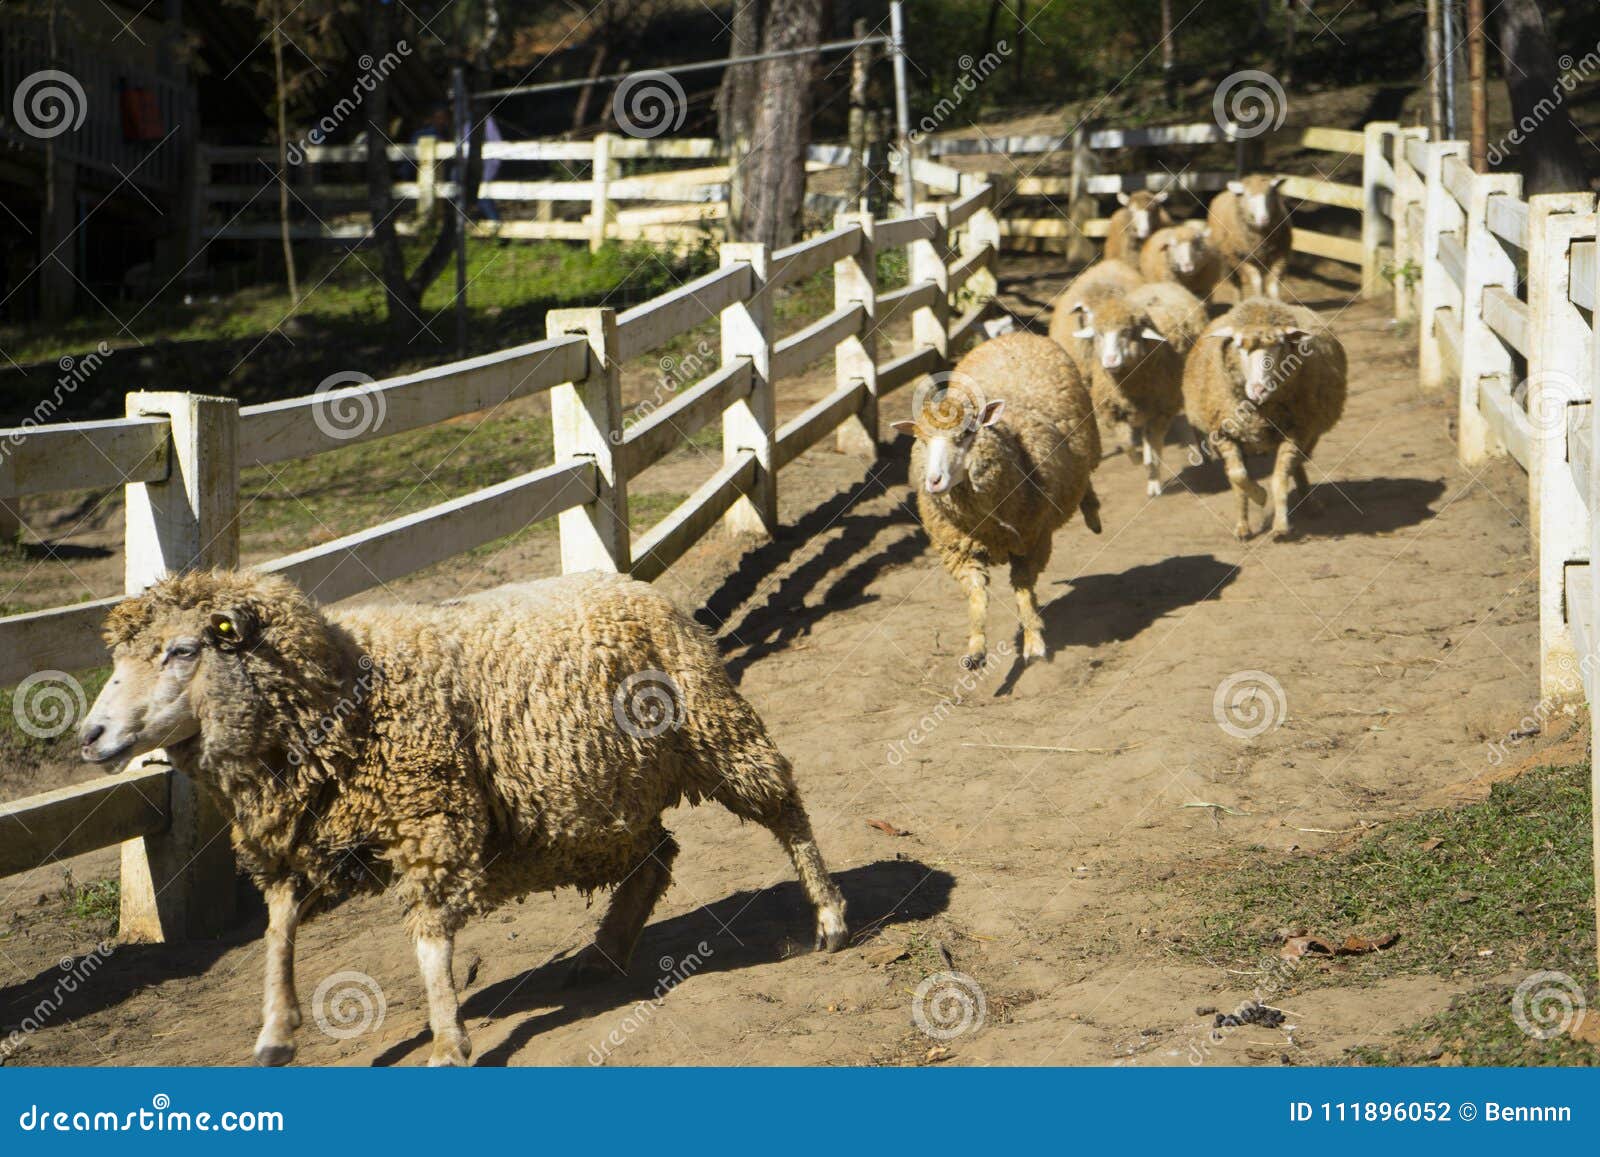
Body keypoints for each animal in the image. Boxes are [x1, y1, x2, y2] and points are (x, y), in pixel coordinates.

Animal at [78, 569, 848, 1067]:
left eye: (182, 651)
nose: (89, 735)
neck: (344, 693)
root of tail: (638, 584)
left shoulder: (432, 819)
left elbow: (429, 942)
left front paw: (449, 1040)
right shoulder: (311, 840)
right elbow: (278, 931)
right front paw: (276, 1030)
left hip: (715, 729)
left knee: (786, 809)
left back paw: (828, 916)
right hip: (611, 797)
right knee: (656, 855)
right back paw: (602, 952)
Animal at [892, 333, 1102, 669]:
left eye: (966, 434)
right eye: (922, 441)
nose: (933, 482)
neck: (986, 525)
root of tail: (1015, 335)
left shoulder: (1032, 540)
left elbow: (1024, 589)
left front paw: (1033, 642)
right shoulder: (962, 551)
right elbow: (977, 596)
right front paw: (976, 649)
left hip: (1088, 440)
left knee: (1086, 476)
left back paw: (1093, 514)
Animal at [1071, 281, 1207, 497]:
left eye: (1126, 332)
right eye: (1099, 334)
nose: (1110, 361)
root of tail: (1163, 284)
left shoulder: (1161, 413)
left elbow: (1156, 449)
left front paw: (1154, 483)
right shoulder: (1113, 414)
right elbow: (1127, 445)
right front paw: (1138, 460)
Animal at [1182, 297, 1348, 540]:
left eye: (1279, 345)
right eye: (1239, 345)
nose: (1259, 389)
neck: (1258, 410)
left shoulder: (1296, 431)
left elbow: (1280, 477)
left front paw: (1280, 526)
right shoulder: (1224, 434)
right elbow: (1238, 477)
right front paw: (1258, 496)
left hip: (1307, 427)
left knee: (1296, 466)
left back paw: (1309, 504)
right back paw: (1243, 526)